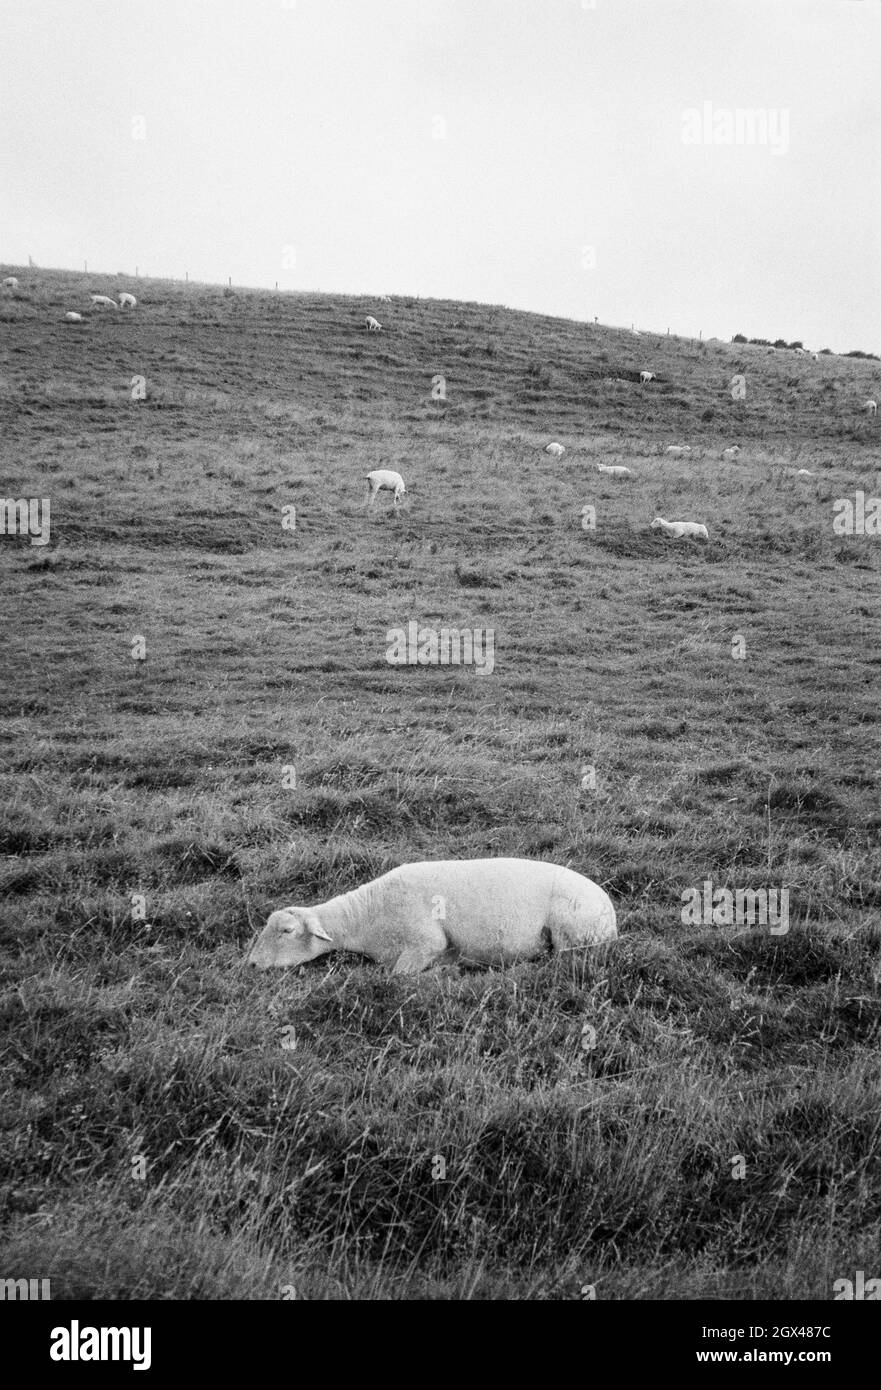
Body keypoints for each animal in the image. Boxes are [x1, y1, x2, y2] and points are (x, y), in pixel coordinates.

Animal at [246, 857, 617, 975]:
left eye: (287, 931)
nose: (250, 963)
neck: (367, 917)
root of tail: (612, 916)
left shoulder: (425, 941)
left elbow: (399, 975)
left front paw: (444, 971)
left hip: (571, 934)